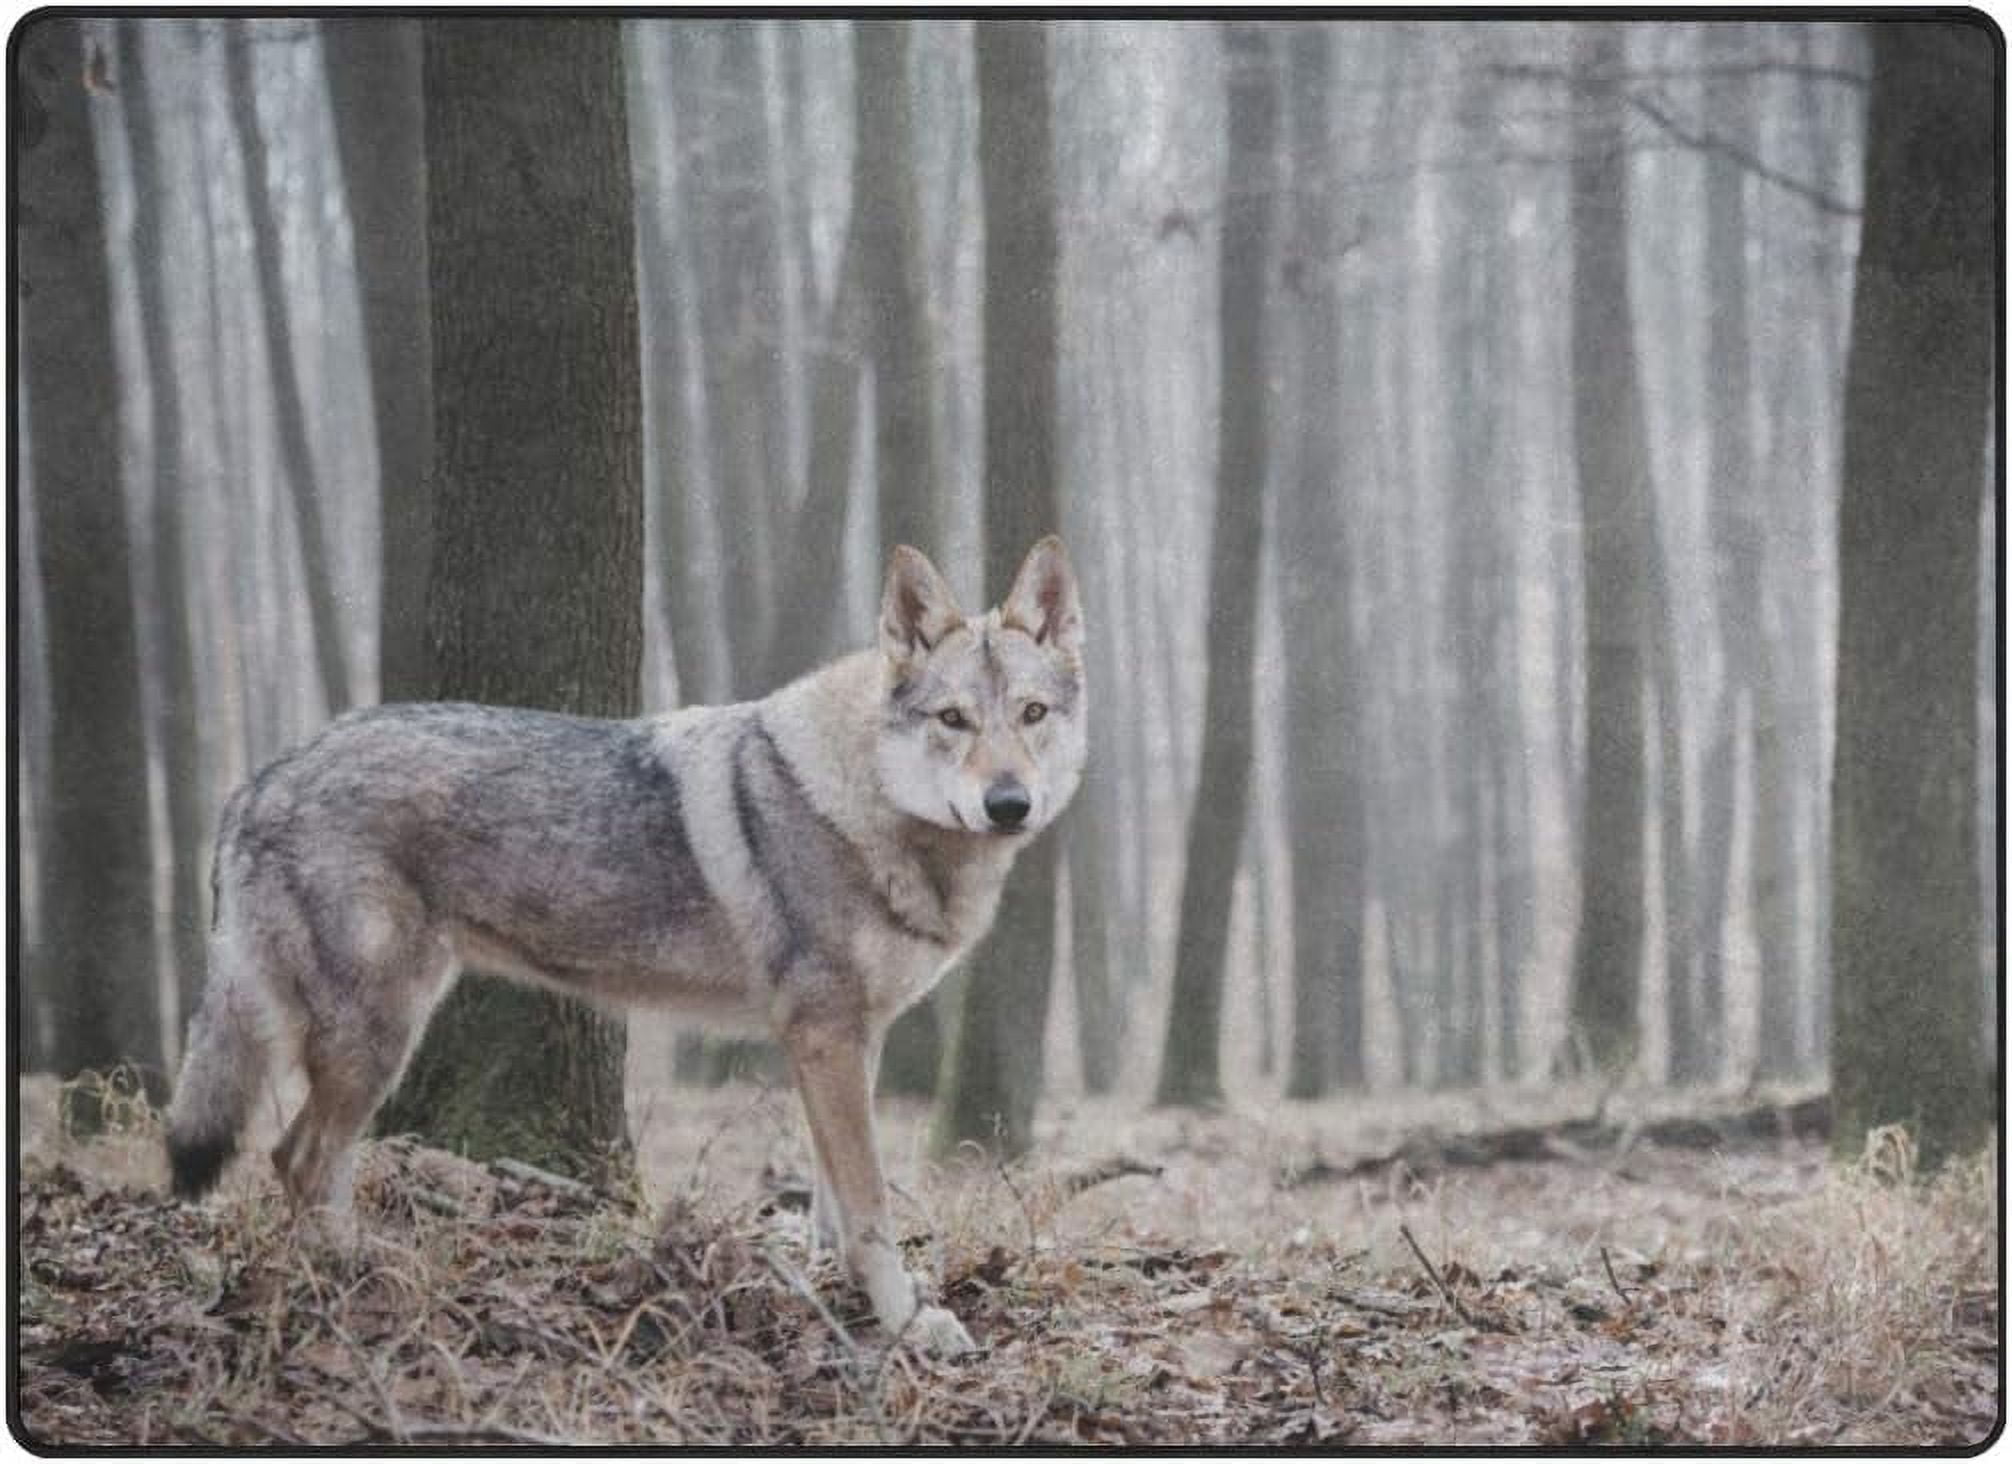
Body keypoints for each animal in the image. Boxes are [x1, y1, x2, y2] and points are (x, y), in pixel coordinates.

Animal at [163, 537, 1085, 1356]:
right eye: (953, 720)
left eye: (1032, 715)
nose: (1009, 803)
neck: (867, 807)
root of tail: (260, 780)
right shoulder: (824, 1036)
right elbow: (870, 1209)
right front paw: (907, 1325)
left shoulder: (852, 1042)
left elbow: (835, 1206)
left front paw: (843, 1302)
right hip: (378, 1039)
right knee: (296, 1158)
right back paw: (354, 1280)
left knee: (309, 1161)